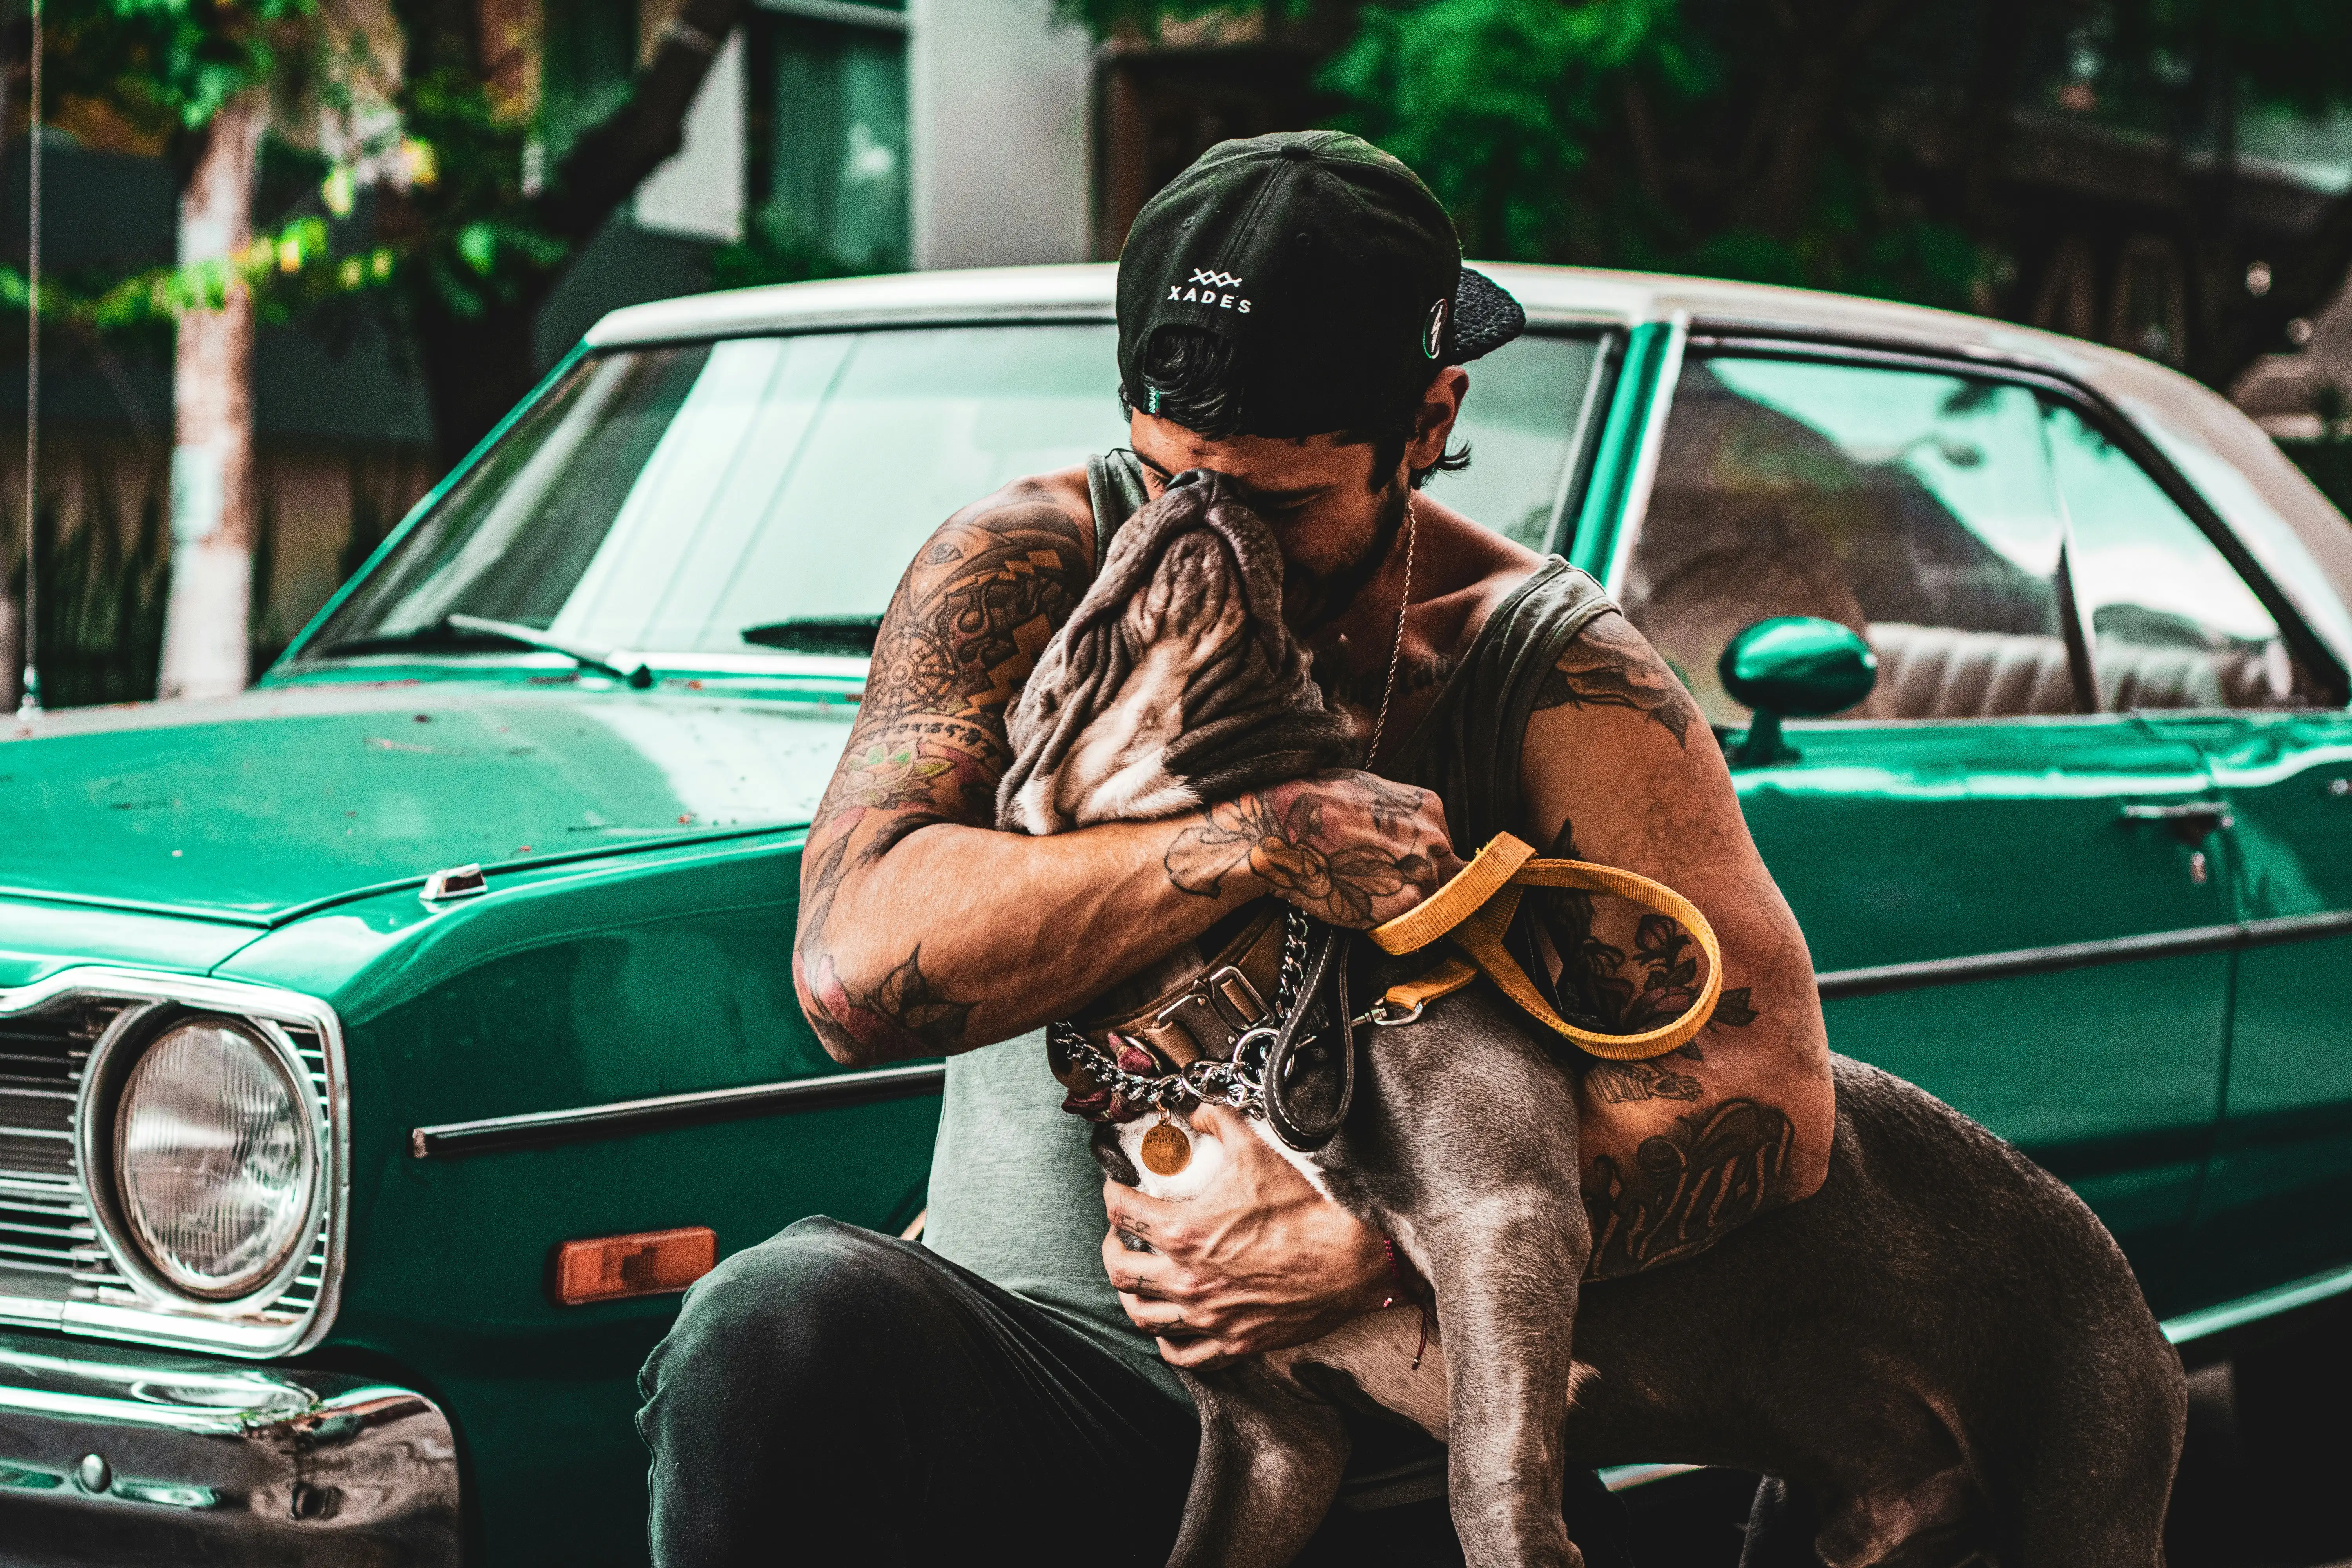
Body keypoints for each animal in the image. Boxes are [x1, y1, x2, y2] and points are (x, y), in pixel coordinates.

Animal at [997, 470, 2183, 1568]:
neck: (1222, 1021)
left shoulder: (1504, 1221)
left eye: (1298, 633)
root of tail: (2138, 1302)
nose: (1206, 481)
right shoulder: (1270, 1440)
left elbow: (1487, 1479)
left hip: (2083, 1489)